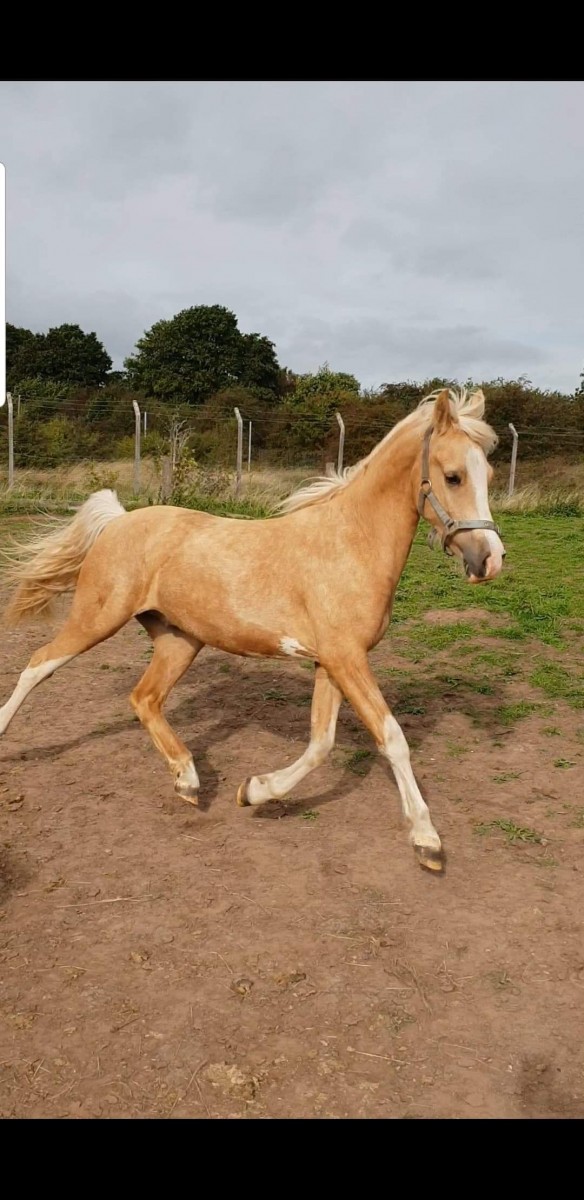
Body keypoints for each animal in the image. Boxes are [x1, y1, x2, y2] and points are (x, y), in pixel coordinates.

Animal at [0, 387, 505, 872]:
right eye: (454, 476)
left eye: (490, 475)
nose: (490, 561)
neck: (349, 544)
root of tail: (120, 519)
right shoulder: (347, 658)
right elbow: (393, 739)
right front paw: (428, 842)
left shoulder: (332, 662)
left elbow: (320, 743)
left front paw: (254, 790)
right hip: (96, 619)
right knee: (39, 664)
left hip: (180, 640)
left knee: (144, 699)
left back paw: (189, 780)